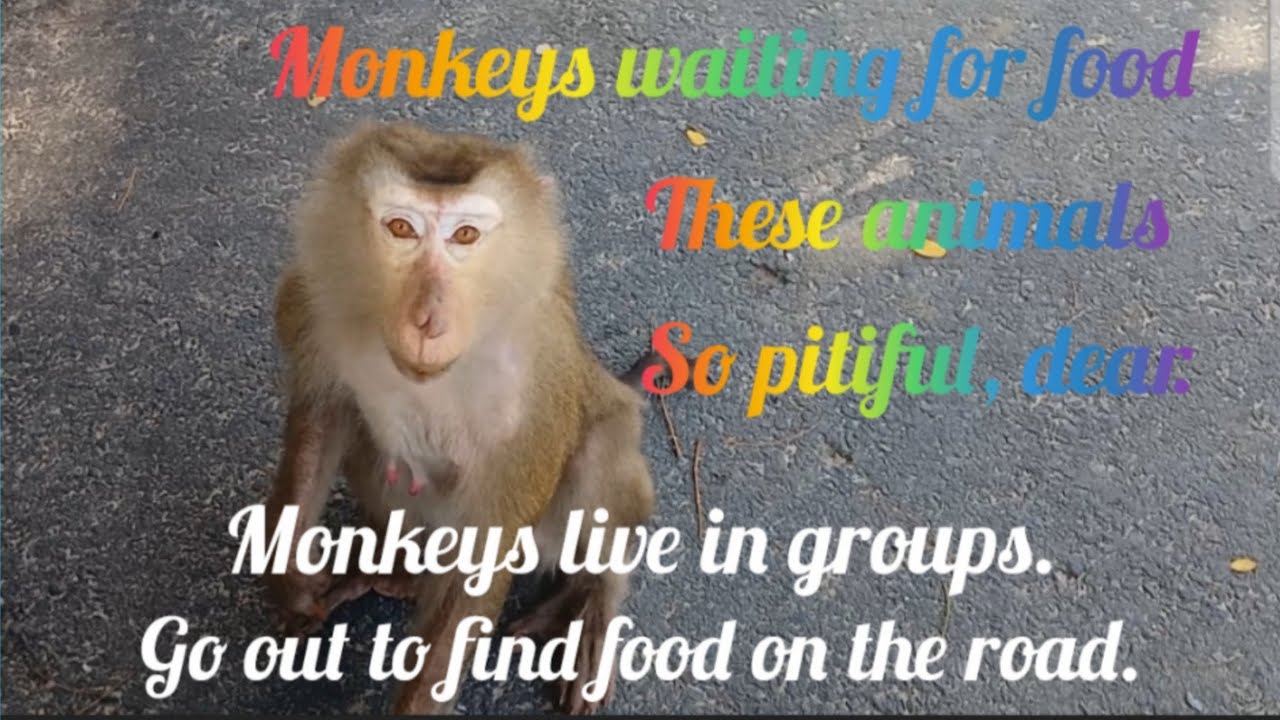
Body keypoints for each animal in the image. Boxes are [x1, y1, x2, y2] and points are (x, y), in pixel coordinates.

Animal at [264, 120, 663, 715]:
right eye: (401, 228)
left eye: (466, 236)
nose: (428, 317)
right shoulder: (311, 303)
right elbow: (323, 414)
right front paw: (289, 574)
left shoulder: (533, 380)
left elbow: (484, 547)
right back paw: (398, 569)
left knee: (597, 456)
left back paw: (589, 598)